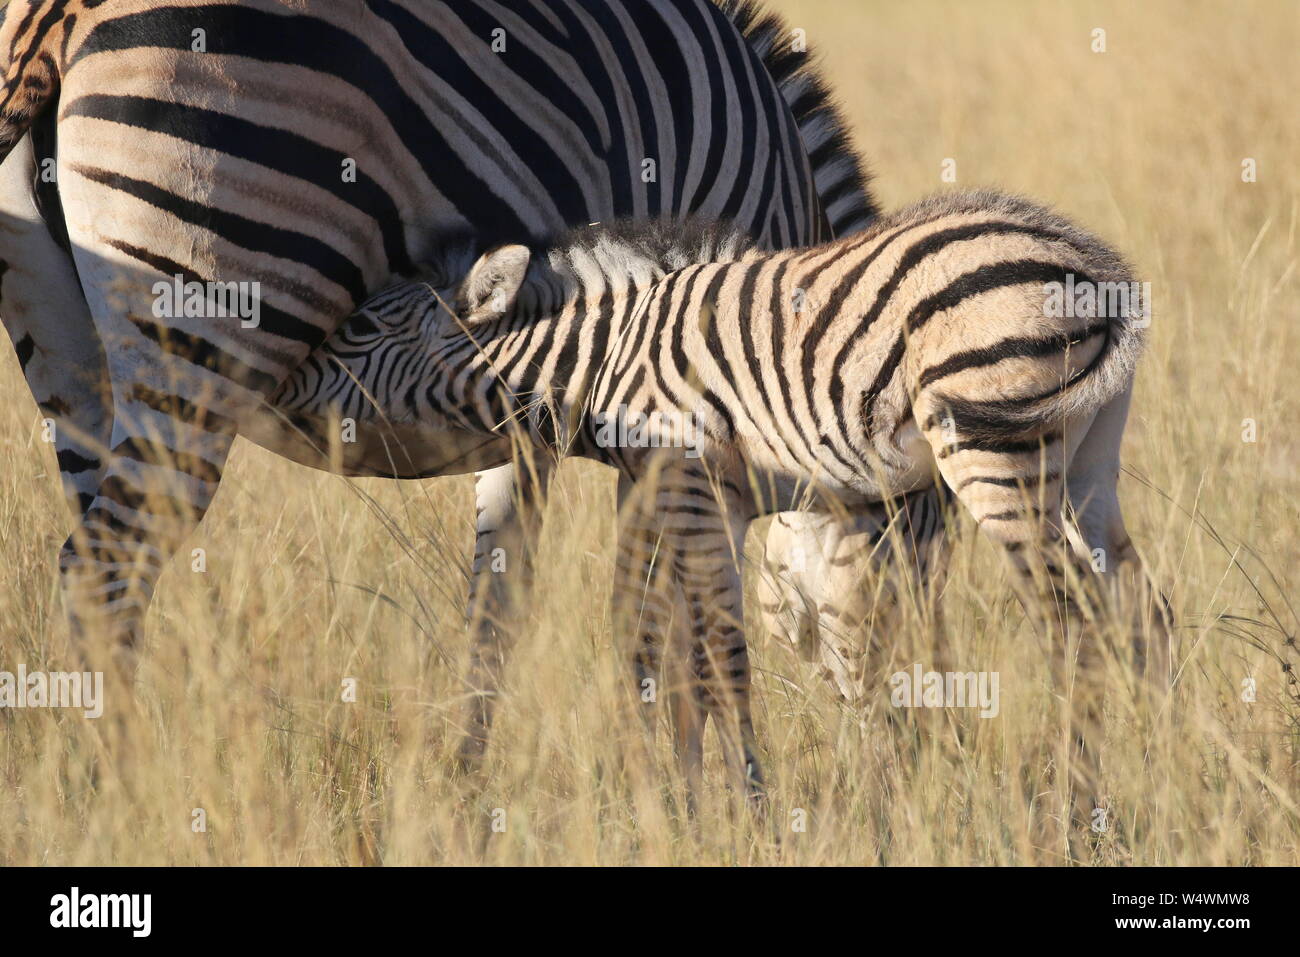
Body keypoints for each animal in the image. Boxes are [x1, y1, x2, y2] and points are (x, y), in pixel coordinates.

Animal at [0, 0, 880, 724]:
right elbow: (666, 616)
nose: (890, 760)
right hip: (209, 311)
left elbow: (501, 599)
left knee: (87, 567)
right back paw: (121, 786)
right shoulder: (661, 414)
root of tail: (61, 13)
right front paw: (687, 797)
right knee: (107, 573)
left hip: (74, 360)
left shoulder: (535, 401)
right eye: (905, 552)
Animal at [265, 188, 1168, 813]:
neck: (599, 359)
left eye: (354, 333)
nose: (270, 387)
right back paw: (1161, 770)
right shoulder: (709, 497)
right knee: (1140, 614)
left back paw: (1066, 802)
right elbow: (683, 652)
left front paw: (753, 807)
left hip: (988, 445)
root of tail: (1099, 270)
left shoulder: (692, 476)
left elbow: (722, 656)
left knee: (1070, 621)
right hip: (1087, 457)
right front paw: (692, 801)